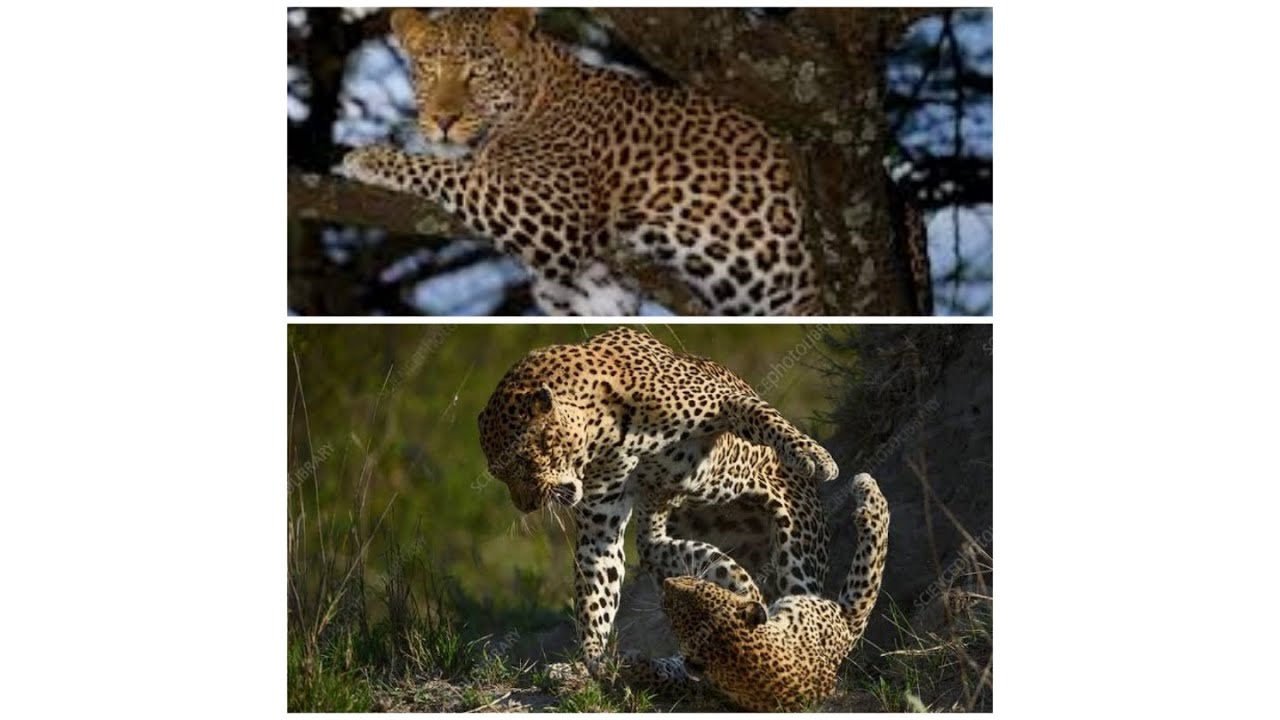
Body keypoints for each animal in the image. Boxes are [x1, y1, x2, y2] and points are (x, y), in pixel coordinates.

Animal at [343, 8, 821, 316]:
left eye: (476, 73)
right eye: (428, 71)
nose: (442, 120)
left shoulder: (551, 214)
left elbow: (445, 170)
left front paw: (368, 158)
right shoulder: (592, 293)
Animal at [476, 327, 837, 678]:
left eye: (523, 462)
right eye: (499, 473)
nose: (525, 506)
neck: (600, 430)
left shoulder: (724, 399)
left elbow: (763, 415)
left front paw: (813, 456)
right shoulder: (601, 527)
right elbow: (596, 589)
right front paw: (590, 660)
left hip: (798, 548)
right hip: (669, 535)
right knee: (676, 556)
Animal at [659, 472, 890, 712]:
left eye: (698, 586)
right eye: (669, 610)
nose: (667, 582)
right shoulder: (844, 617)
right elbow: (872, 557)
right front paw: (867, 487)